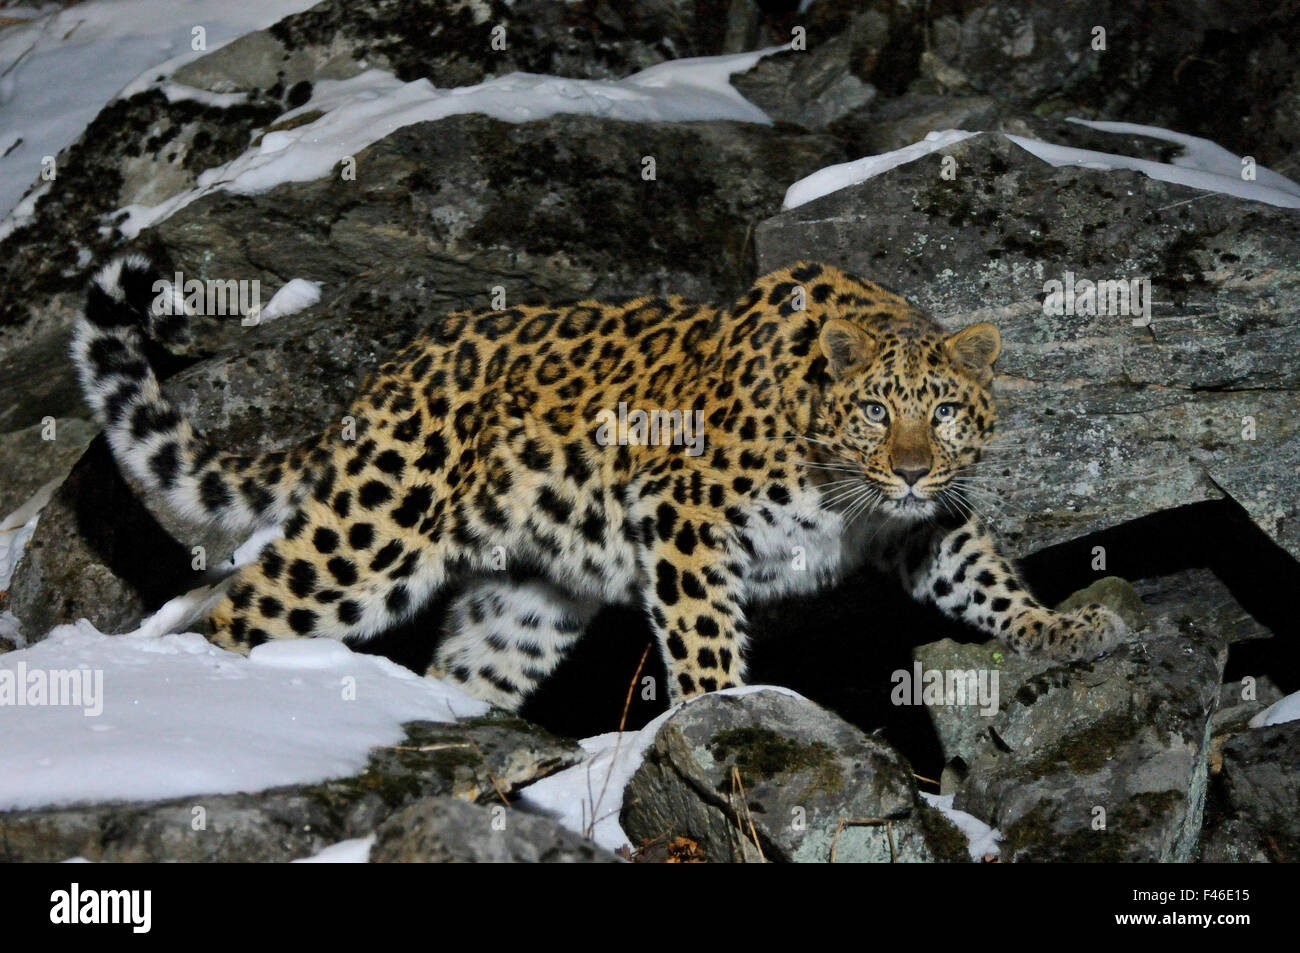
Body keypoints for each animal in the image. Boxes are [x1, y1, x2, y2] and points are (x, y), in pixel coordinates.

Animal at [72, 256, 1129, 711]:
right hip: (372, 537)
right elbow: (703, 638)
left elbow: (984, 577)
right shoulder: (684, 514)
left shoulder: (923, 525)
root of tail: (383, 377)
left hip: (525, 600)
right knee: (239, 604)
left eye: (943, 413)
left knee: (465, 668)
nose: (909, 466)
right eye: (875, 409)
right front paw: (722, 712)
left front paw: (1065, 627)